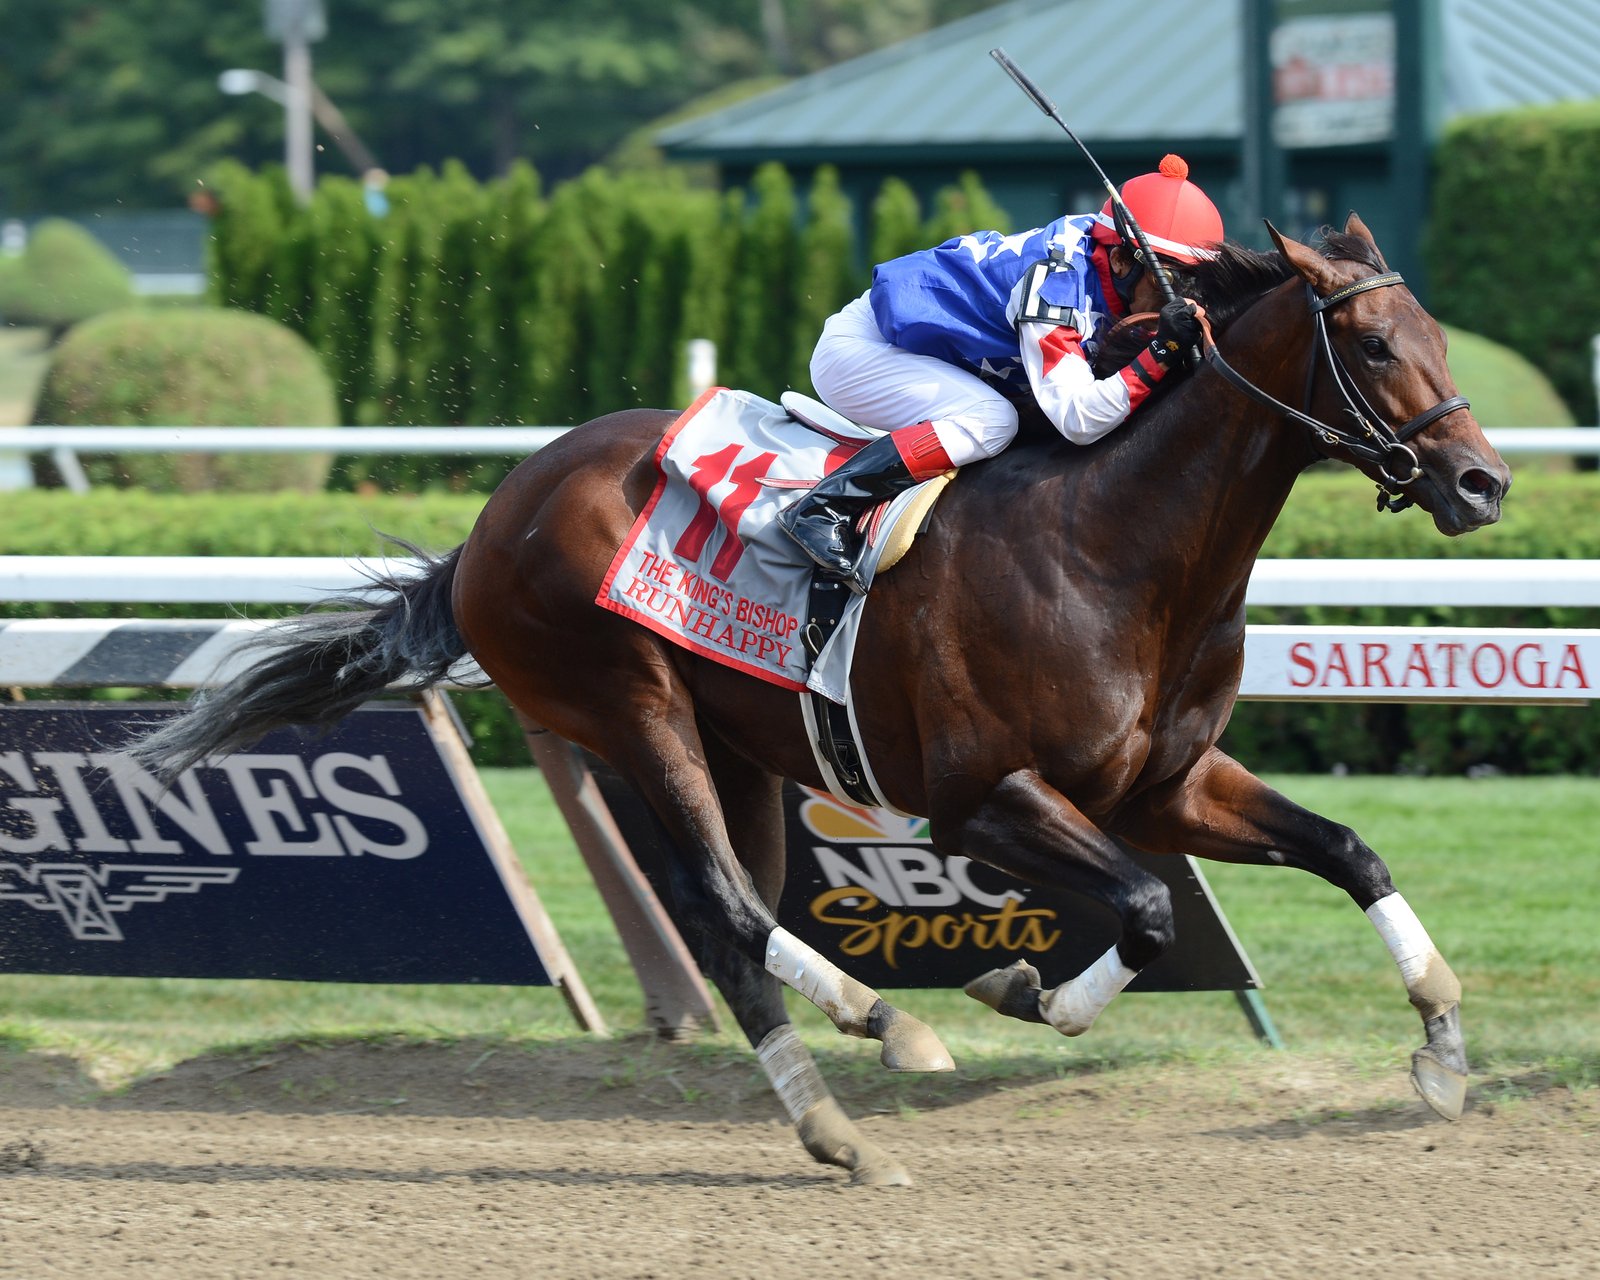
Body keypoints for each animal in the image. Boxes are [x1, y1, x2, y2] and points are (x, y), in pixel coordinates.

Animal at [130, 214, 1510, 1186]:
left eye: (1444, 339)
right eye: (1374, 345)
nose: (1482, 481)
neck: (1117, 544)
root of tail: (489, 522)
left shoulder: (1163, 783)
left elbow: (1348, 847)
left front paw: (1442, 1049)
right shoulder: (979, 796)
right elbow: (1147, 906)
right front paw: (1022, 991)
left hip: (732, 744)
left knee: (726, 922)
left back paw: (839, 1126)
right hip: (629, 707)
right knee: (729, 906)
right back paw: (882, 1023)